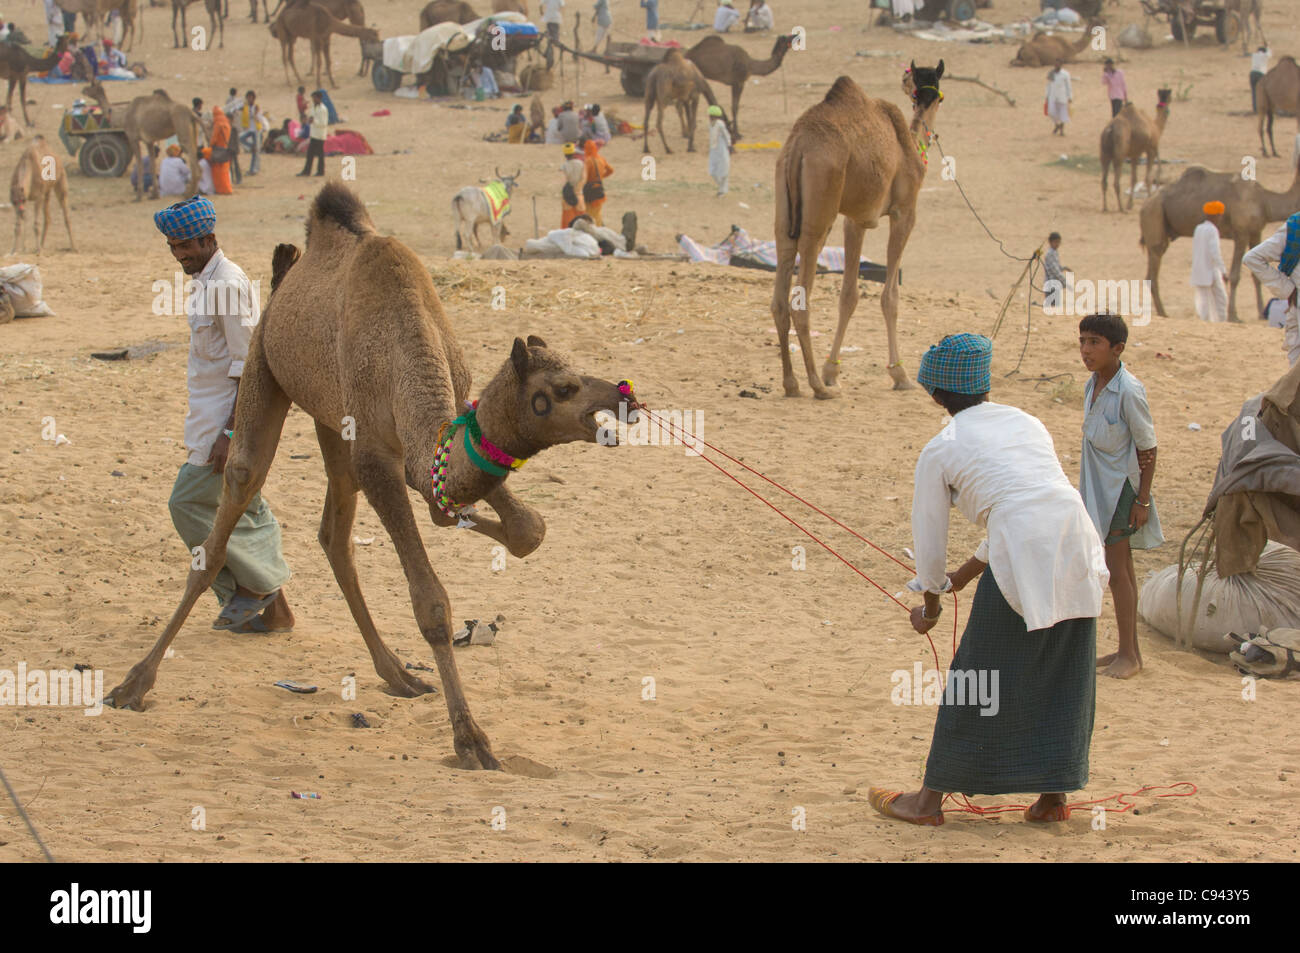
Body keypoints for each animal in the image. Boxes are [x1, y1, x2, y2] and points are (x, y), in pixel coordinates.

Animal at [103, 183, 638, 772]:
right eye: (563, 388)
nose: (624, 393)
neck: (409, 358)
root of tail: (290, 268)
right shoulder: (377, 457)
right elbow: (431, 602)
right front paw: (471, 741)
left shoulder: (449, 423)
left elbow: (524, 528)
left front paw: (466, 518)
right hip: (265, 362)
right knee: (235, 495)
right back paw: (133, 684)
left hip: (330, 421)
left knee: (334, 534)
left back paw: (398, 674)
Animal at [771, 63, 945, 397]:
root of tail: (798, 146)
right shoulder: (904, 212)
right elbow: (890, 297)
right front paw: (900, 374)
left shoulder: (855, 219)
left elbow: (849, 295)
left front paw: (833, 371)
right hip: (820, 210)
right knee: (801, 300)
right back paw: (817, 387)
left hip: (783, 209)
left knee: (779, 298)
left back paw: (792, 383)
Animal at [1140, 164, 1300, 321]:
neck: (1264, 201)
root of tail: (1145, 204)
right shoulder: (1241, 233)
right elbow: (1235, 276)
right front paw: (1233, 316)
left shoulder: (1256, 232)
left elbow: (1257, 275)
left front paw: (1261, 314)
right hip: (1154, 215)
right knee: (1154, 262)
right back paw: (1163, 313)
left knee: (1151, 270)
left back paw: (1161, 312)